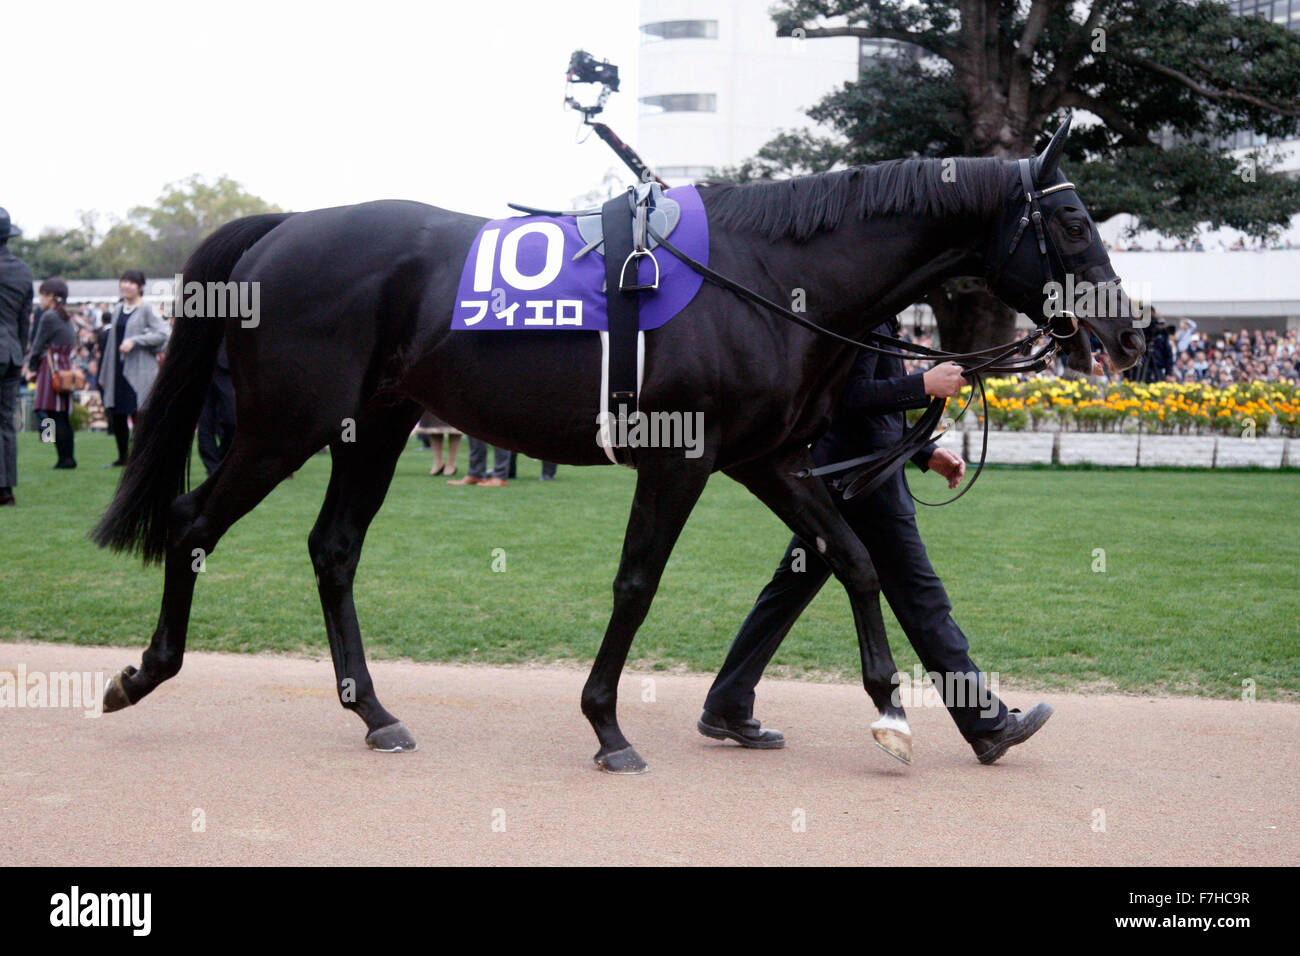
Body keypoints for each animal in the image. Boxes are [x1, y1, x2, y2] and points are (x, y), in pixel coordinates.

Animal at [92, 118, 1144, 773]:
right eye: (1072, 220)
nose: (1131, 332)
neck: (767, 275)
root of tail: (284, 230)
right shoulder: (682, 460)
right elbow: (638, 584)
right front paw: (605, 726)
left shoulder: (767, 458)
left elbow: (851, 557)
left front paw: (894, 709)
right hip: (285, 425)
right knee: (191, 519)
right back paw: (143, 674)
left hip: (375, 427)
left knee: (334, 548)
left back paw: (377, 714)